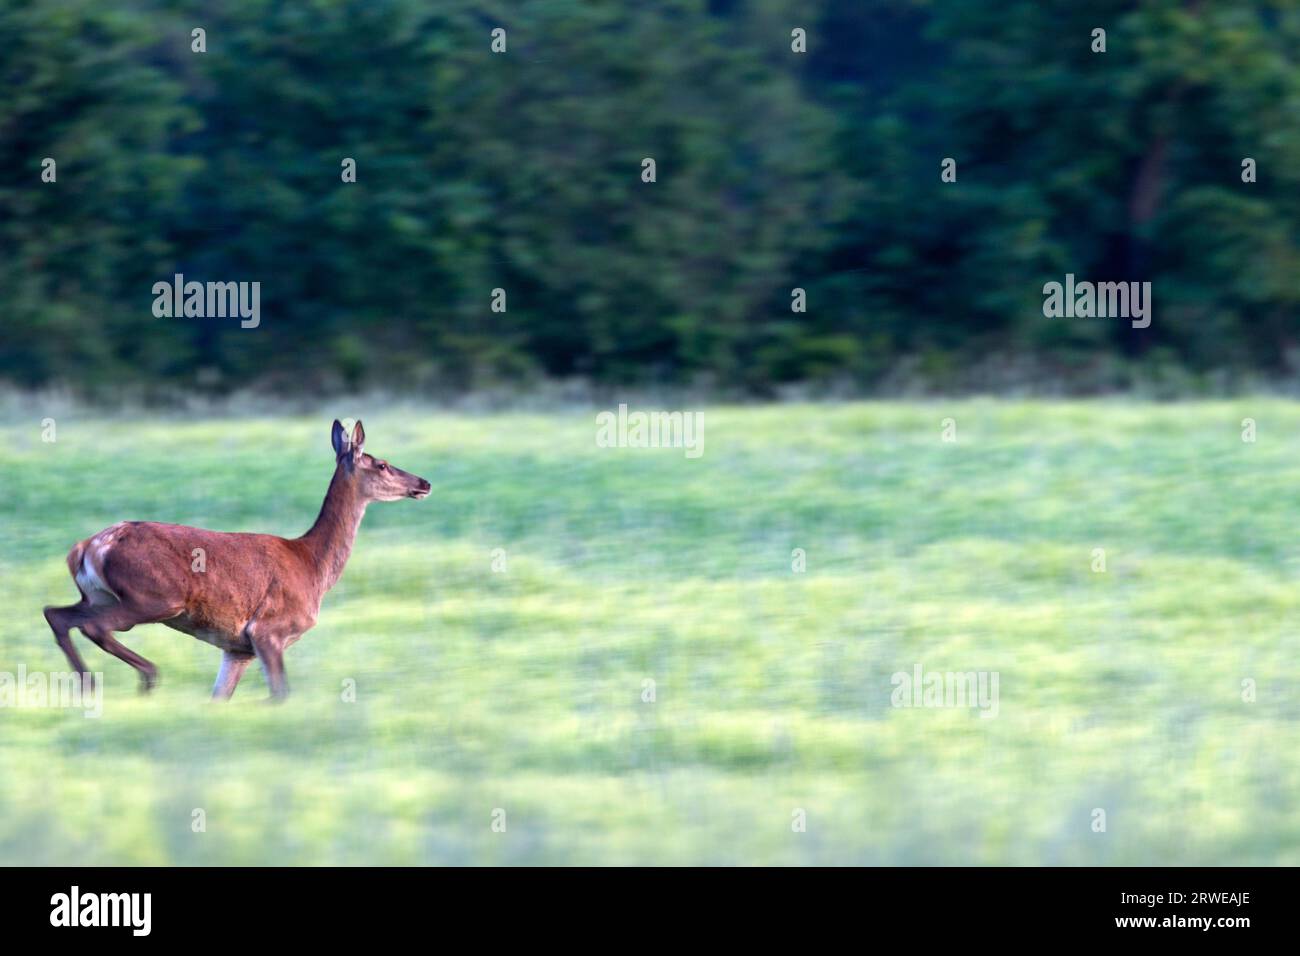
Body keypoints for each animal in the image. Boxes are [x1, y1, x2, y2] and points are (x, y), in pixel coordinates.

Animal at [43, 420, 430, 701]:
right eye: (382, 464)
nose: (424, 483)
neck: (312, 566)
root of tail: (87, 547)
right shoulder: (268, 630)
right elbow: (281, 693)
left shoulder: (236, 648)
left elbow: (220, 696)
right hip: (154, 596)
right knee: (94, 626)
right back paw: (145, 676)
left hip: (98, 595)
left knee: (57, 614)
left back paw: (89, 684)